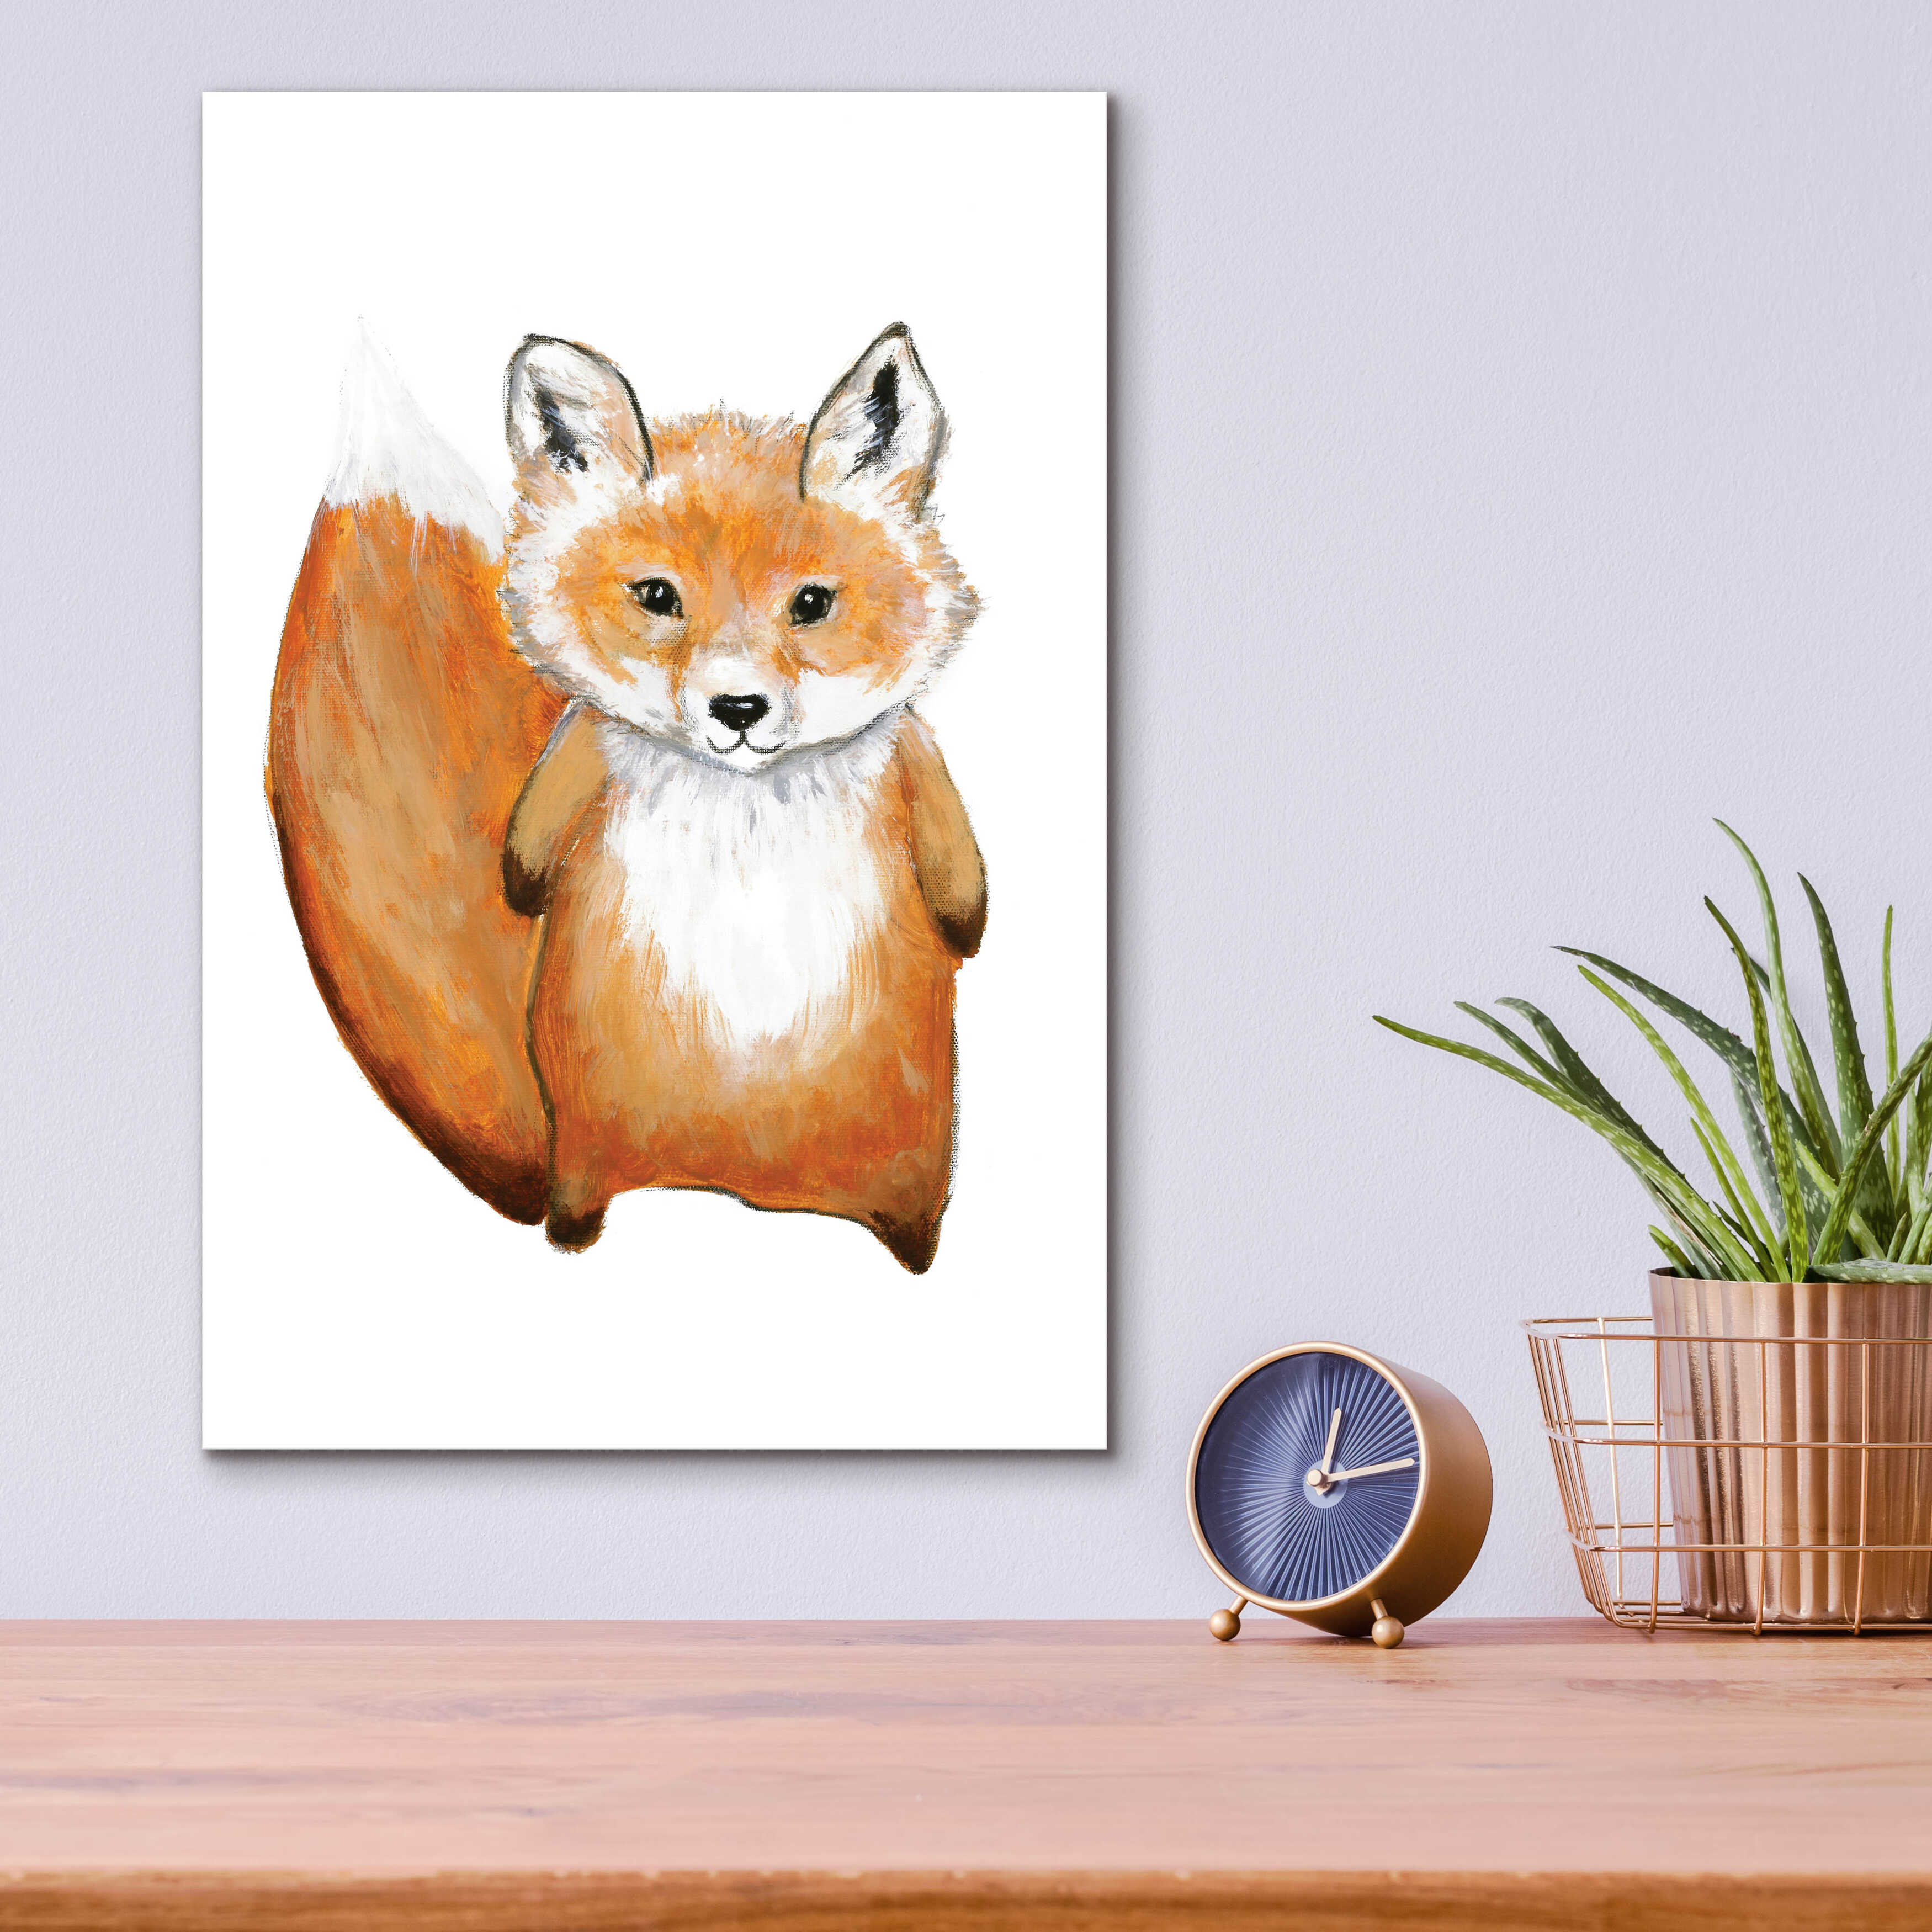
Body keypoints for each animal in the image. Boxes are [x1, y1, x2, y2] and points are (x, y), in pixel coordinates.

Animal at [267, 325, 984, 1271]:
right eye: (657, 597)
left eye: (812, 603)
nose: (739, 709)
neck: (743, 814)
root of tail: (737, 1177)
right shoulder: (576, 753)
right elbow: (525, 860)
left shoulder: (915, 759)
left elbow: (964, 886)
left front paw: (968, 920)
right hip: (596, 1134)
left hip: (905, 1145)